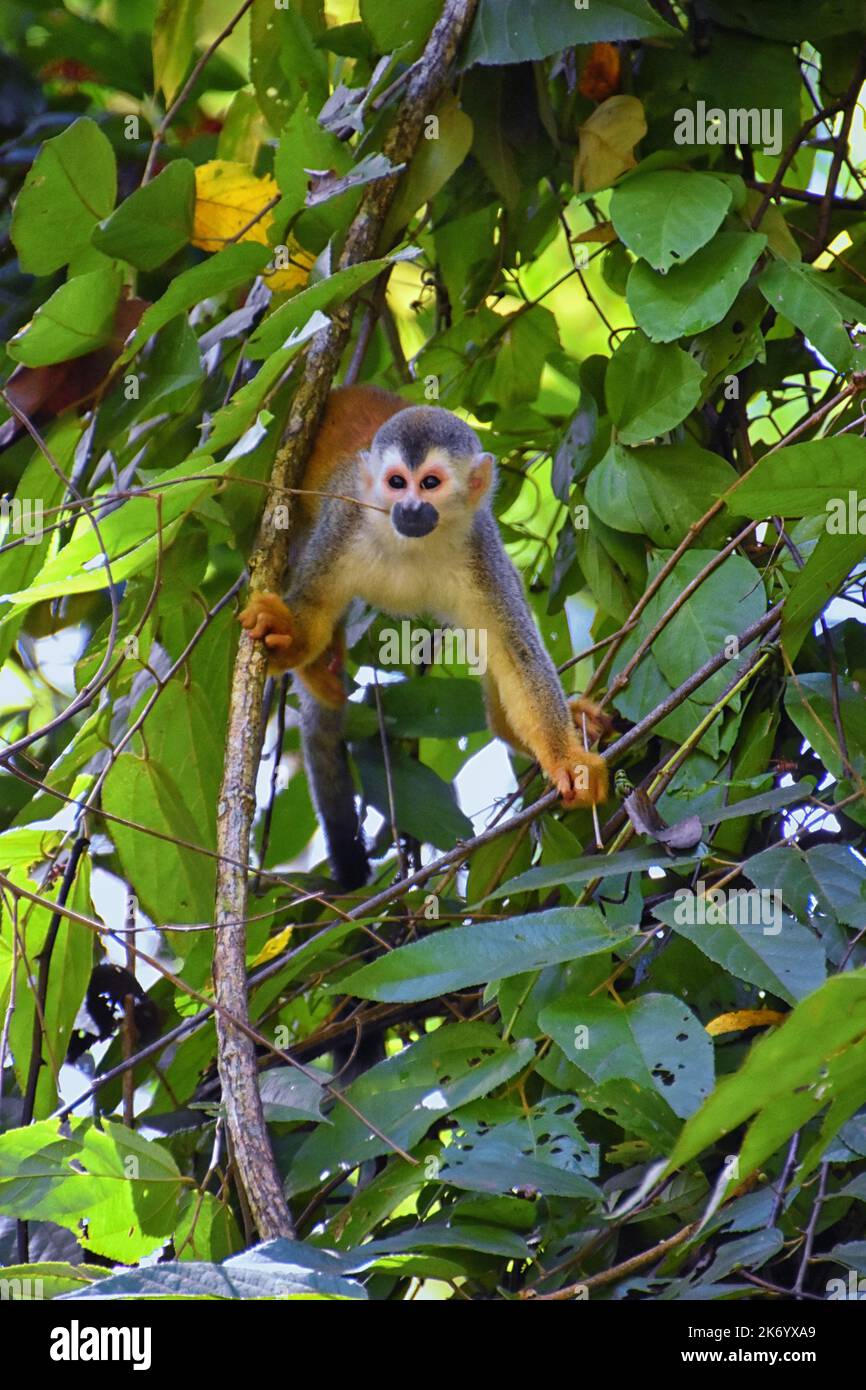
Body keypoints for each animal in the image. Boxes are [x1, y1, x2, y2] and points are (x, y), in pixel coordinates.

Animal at [240, 385, 610, 890]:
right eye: (397, 483)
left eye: (430, 483)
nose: (411, 508)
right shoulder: (344, 524)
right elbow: (312, 611)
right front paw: (286, 636)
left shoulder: (481, 553)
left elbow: (517, 658)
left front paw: (568, 761)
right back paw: (318, 668)